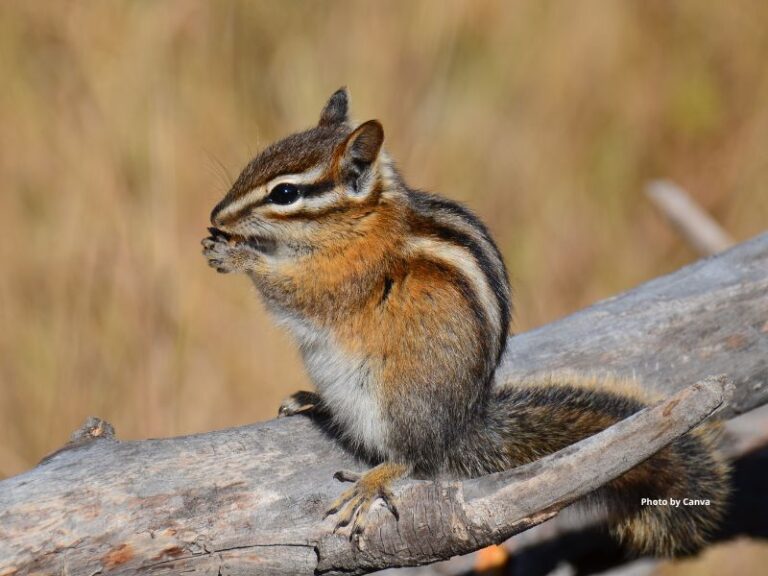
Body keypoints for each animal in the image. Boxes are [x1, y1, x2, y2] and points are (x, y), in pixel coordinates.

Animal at [202, 88, 729, 556]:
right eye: (259, 159)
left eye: (285, 193)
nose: (216, 215)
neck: (362, 220)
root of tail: (461, 429)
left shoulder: (347, 275)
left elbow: (298, 291)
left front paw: (238, 255)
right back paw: (314, 401)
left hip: (397, 400)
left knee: (414, 459)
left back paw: (374, 480)